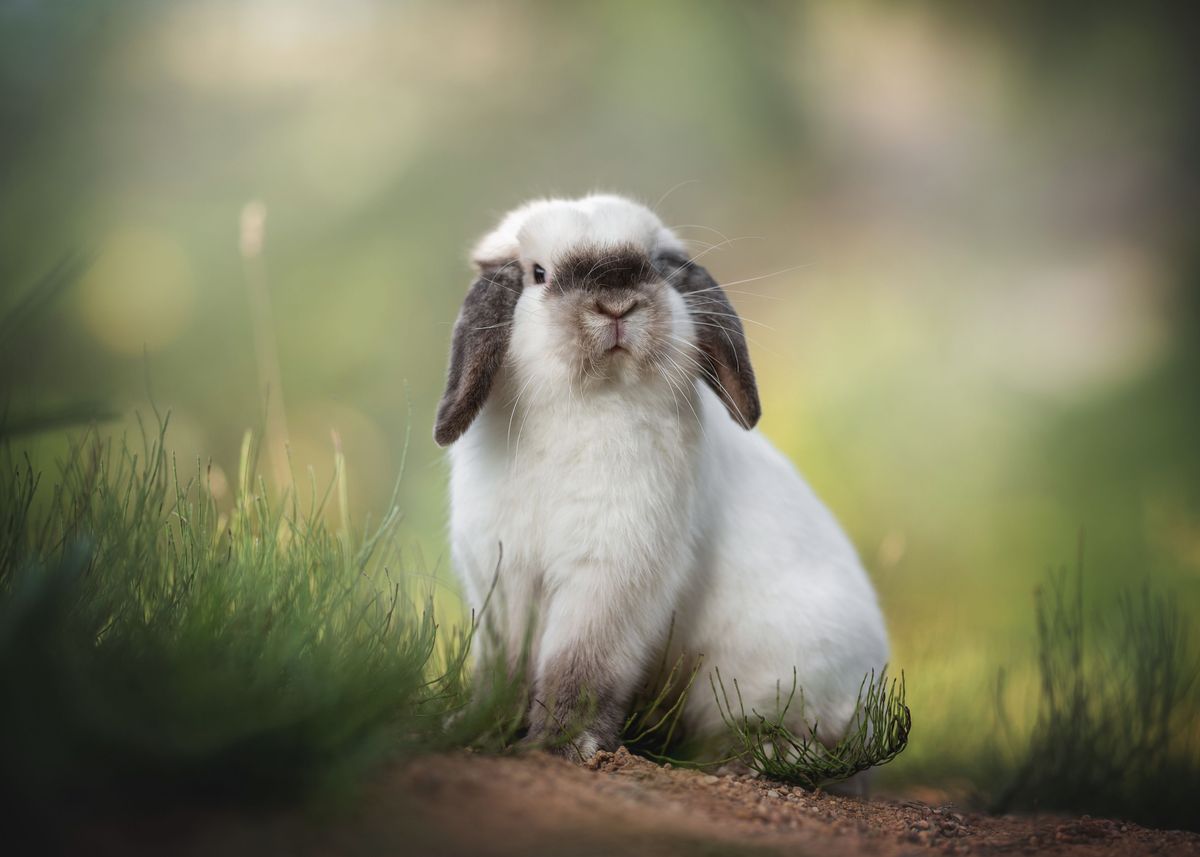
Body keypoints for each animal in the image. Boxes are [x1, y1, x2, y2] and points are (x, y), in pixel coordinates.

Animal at [435, 194, 889, 764]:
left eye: (653, 265)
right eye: (538, 274)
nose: (616, 305)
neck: (591, 403)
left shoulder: (609, 579)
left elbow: (579, 666)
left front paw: (564, 745)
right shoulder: (504, 579)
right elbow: (506, 669)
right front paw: (476, 726)